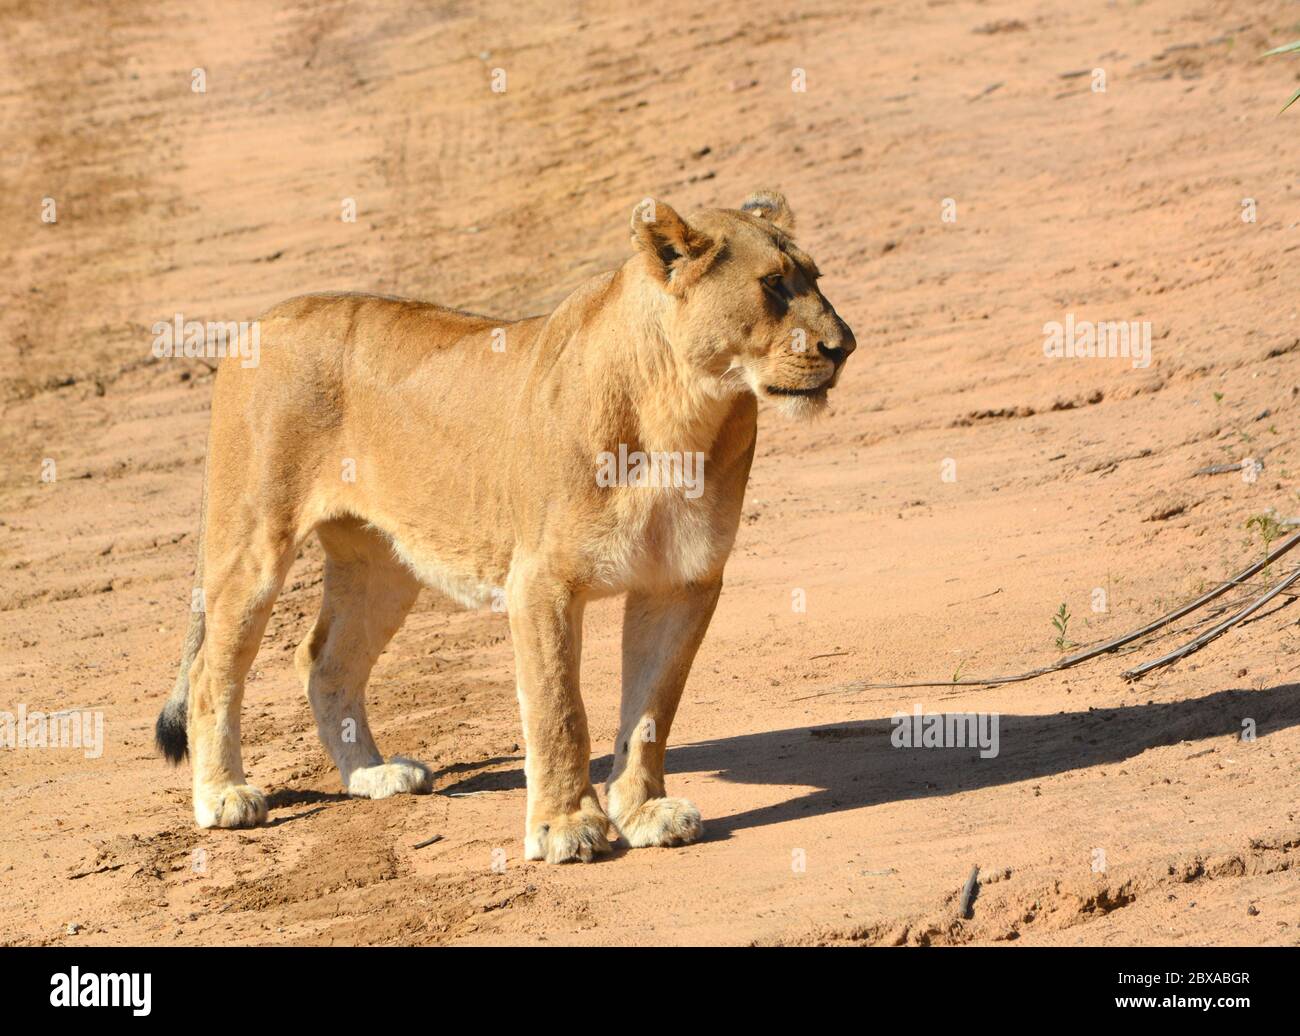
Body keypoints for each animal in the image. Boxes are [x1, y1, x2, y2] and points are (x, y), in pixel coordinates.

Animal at [155, 189, 855, 863]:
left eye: (815, 278)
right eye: (773, 284)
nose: (844, 347)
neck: (685, 410)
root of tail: (263, 321)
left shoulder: (683, 580)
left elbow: (653, 710)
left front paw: (642, 813)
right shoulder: (542, 582)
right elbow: (559, 710)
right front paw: (566, 826)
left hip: (382, 565)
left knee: (323, 659)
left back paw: (372, 775)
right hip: (253, 541)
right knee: (212, 670)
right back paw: (224, 796)